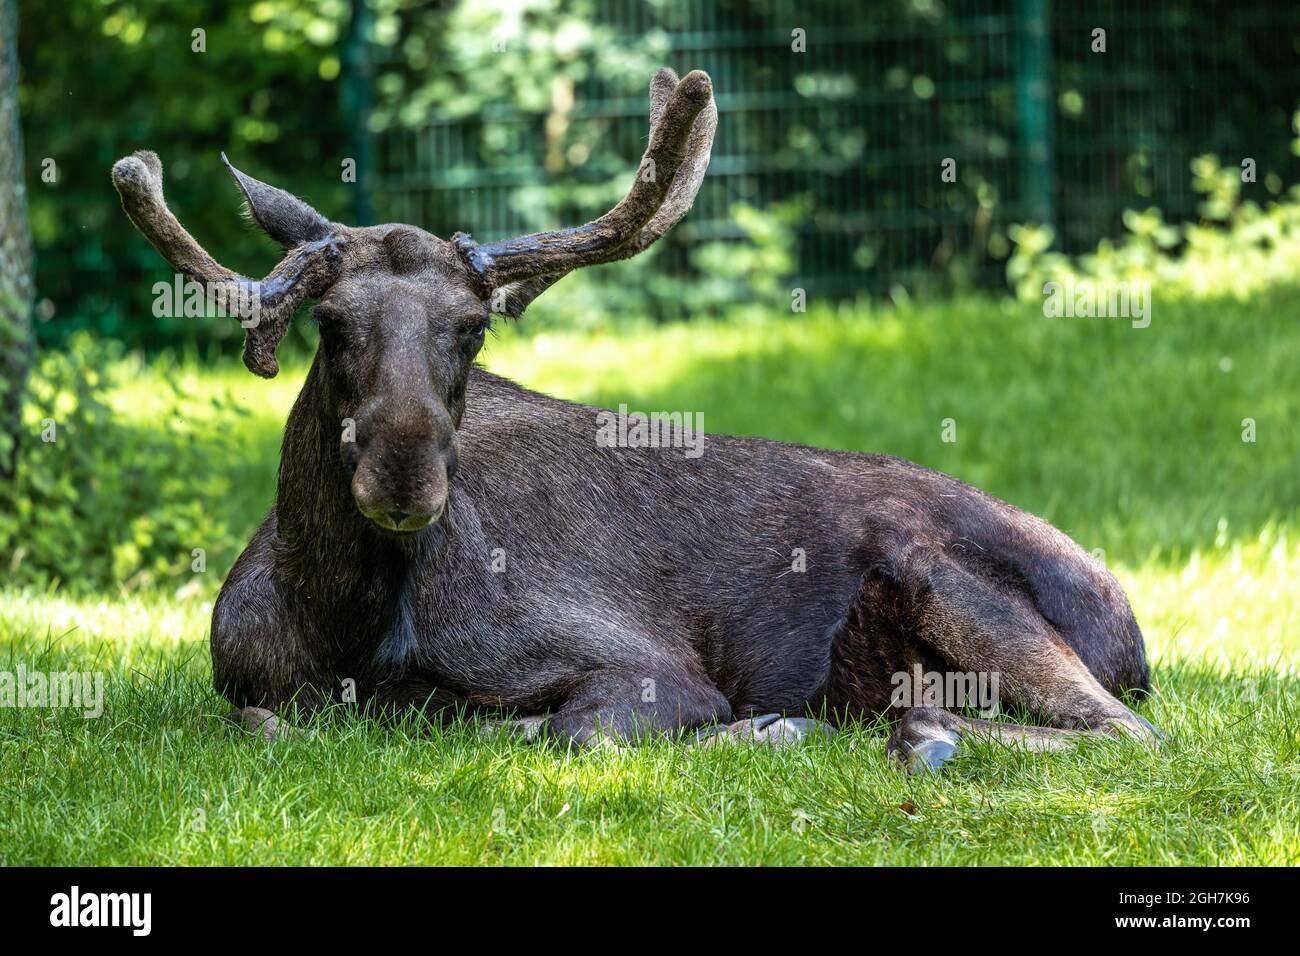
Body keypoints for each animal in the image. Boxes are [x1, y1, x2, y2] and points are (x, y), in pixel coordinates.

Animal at [110, 68, 1157, 773]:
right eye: (330, 323)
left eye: (473, 329)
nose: (404, 475)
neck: (344, 625)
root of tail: (1134, 631)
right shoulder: (242, 684)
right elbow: (264, 721)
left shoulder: (645, 662)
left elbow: (561, 733)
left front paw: (760, 725)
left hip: (949, 577)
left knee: (1129, 729)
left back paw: (896, 735)